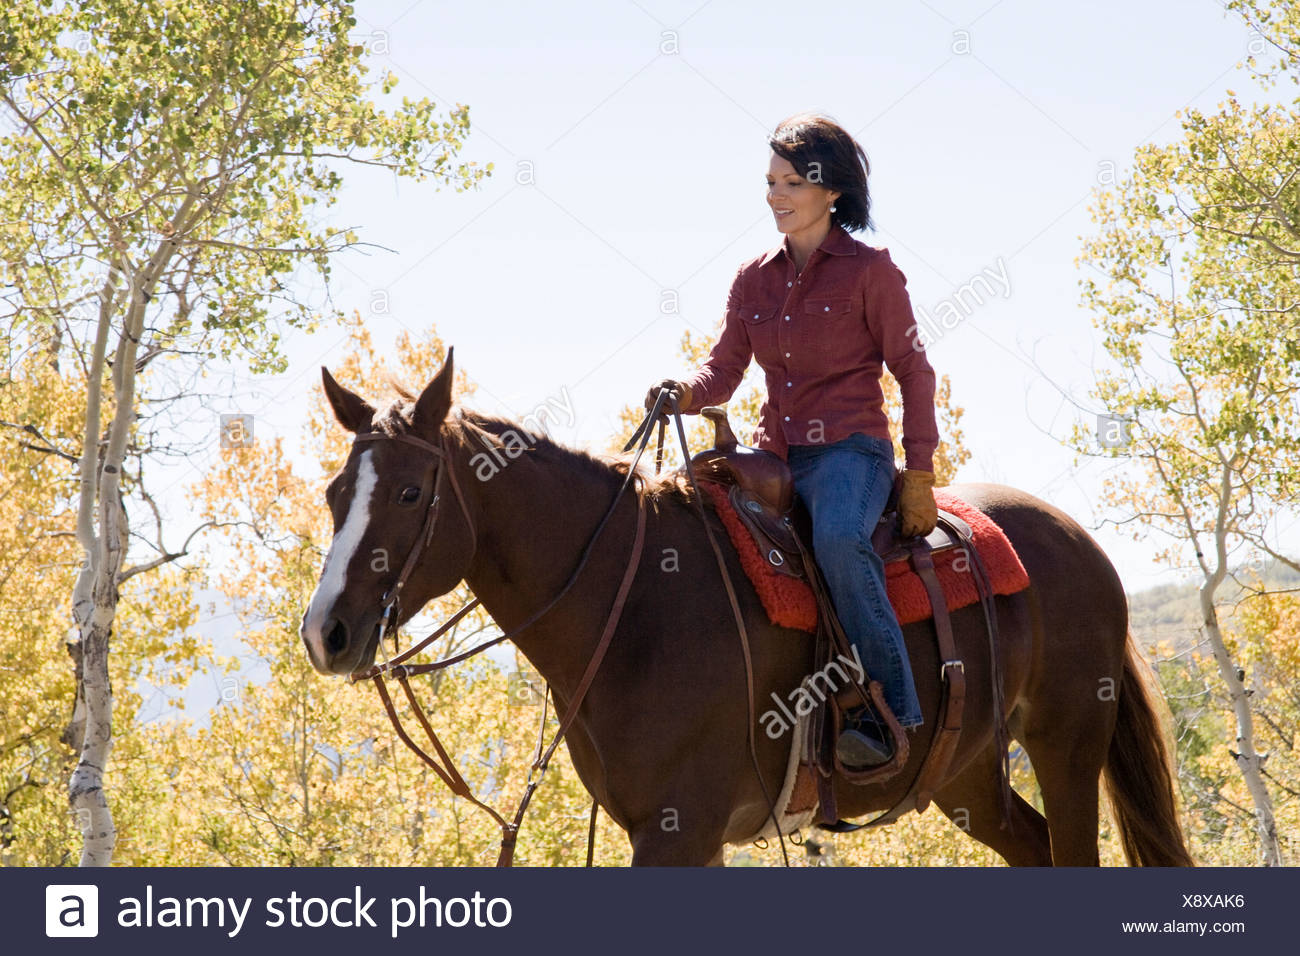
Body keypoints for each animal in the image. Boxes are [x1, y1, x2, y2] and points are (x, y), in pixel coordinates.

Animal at [299, 352, 1194, 867]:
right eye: (336, 493)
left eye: (409, 493)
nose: (325, 634)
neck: (630, 606)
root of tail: (1078, 542)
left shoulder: (677, 832)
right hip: (966, 772)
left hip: (1067, 744)